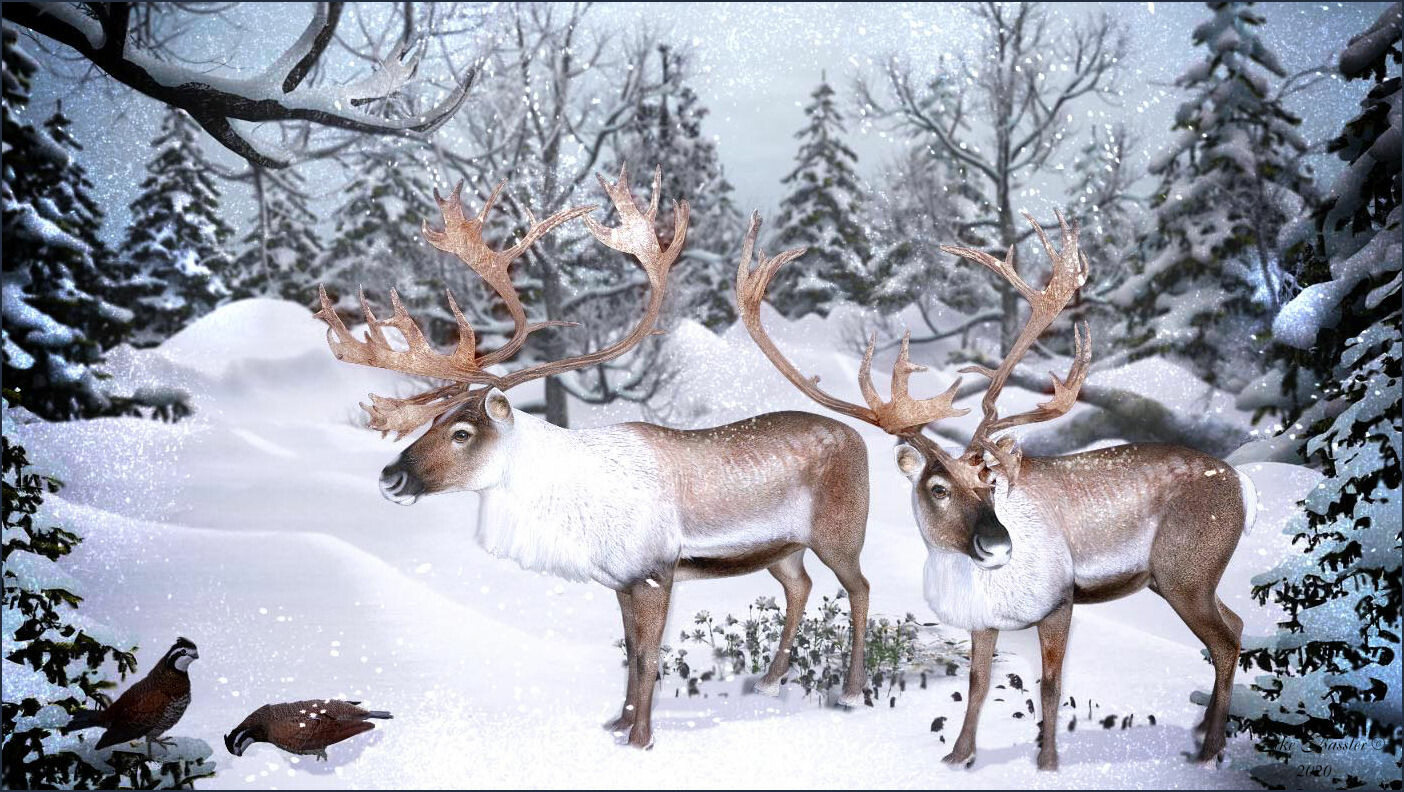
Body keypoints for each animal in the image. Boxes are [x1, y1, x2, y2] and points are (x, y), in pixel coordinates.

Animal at [314, 165, 875, 750]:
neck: (574, 507)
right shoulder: (621, 580)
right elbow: (629, 653)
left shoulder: (653, 572)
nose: (391, 477)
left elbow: (649, 657)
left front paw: (641, 739)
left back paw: (851, 692)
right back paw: (768, 681)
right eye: (433, 421)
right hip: (784, 549)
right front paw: (618, 724)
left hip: (841, 533)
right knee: (800, 586)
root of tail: (857, 437)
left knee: (859, 589)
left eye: (463, 432)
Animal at [737, 210, 1259, 771]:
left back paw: (1209, 749)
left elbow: (1050, 684)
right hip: (1181, 579)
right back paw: (1203, 732)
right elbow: (978, 681)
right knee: (1237, 623)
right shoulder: (982, 620)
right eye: (938, 487)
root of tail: (1243, 486)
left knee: (1226, 641)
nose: (996, 544)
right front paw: (958, 755)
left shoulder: (1060, 599)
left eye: (990, 481)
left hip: (1187, 572)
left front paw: (1047, 762)